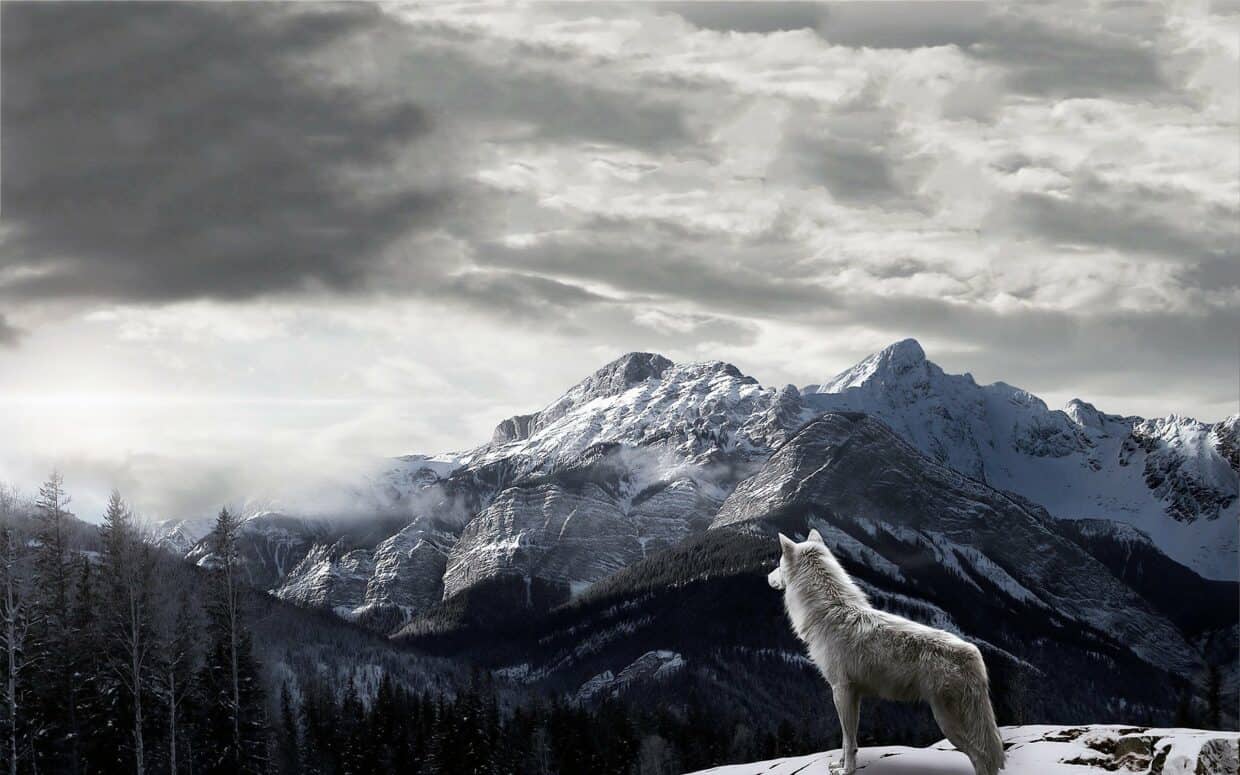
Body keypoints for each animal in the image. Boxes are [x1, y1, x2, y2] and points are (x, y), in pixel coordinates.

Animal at [768, 530, 1005, 775]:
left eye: (778, 564)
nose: (767, 576)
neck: (829, 612)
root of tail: (974, 654)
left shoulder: (841, 690)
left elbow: (848, 740)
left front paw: (846, 770)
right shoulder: (853, 694)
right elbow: (848, 740)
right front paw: (840, 764)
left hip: (948, 723)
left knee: (982, 757)